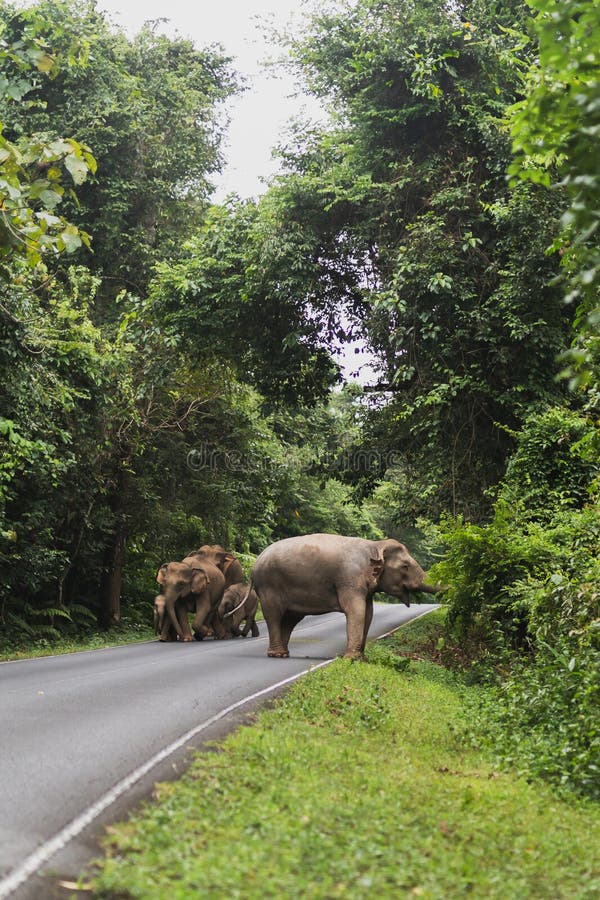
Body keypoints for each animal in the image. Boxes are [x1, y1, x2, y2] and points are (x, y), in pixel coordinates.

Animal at [248, 533, 442, 660]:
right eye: (405, 566)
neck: (375, 545)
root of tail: (254, 564)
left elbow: (368, 614)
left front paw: (360, 658)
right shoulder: (350, 579)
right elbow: (356, 611)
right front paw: (350, 658)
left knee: (289, 619)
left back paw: (284, 654)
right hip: (268, 586)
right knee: (274, 615)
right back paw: (277, 654)